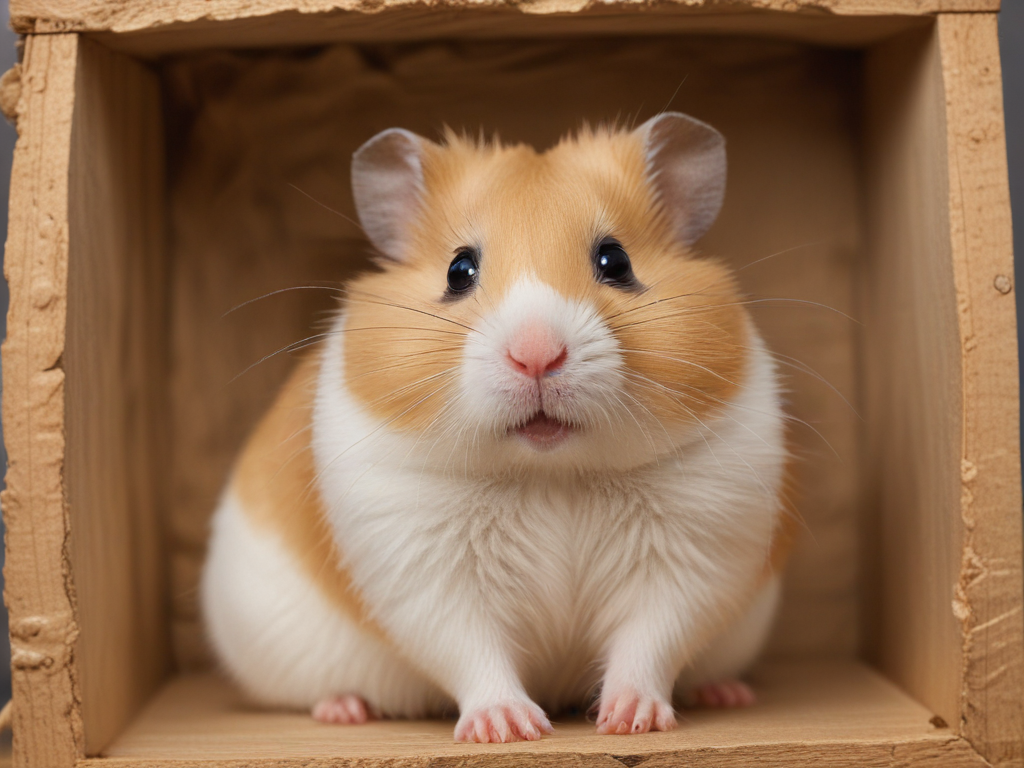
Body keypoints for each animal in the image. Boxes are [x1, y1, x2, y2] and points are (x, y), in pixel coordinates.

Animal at [201, 112, 794, 743]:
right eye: (459, 270)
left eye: (616, 262)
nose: (536, 355)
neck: (553, 473)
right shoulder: (426, 572)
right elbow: (472, 651)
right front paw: (510, 729)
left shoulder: (690, 557)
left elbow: (648, 643)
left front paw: (630, 722)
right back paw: (344, 708)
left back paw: (728, 693)